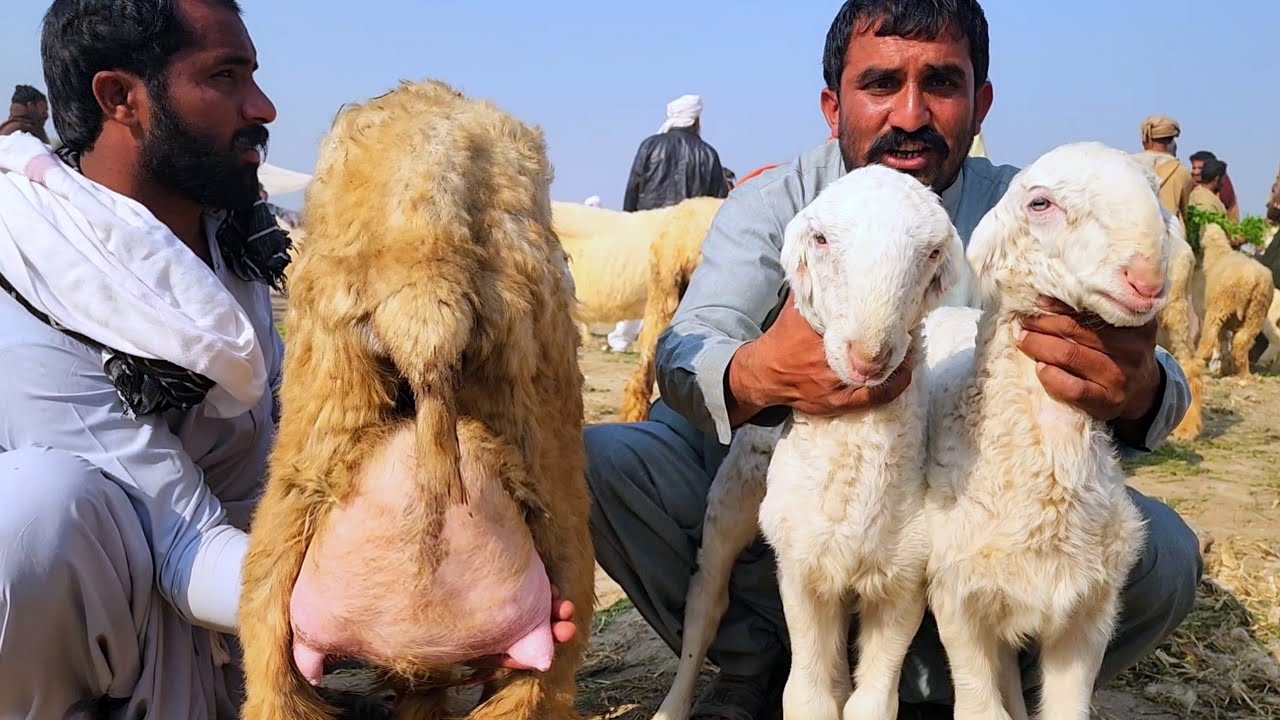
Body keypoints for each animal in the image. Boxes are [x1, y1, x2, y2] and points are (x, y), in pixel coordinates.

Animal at [651, 164, 969, 720]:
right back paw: (673, 704)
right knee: (706, 600)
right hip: (735, 494)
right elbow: (807, 698)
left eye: (932, 253)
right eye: (820, 239)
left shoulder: (904, 578)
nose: (868, 355)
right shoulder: (798, 568)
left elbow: (869, 702)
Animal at [920, 142, 1179, 720]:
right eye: (1040, 204)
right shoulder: (956, 597)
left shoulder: (1088, 613)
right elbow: (981, 707)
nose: (1148, 280)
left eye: (1156, 194)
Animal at [1193, 221, 1273, 378]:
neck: (1219, 254)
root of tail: (1251, 279)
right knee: (1241, 342)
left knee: (1208, 341)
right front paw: (1225, 368)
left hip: (1219, 309)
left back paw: (1194, 362)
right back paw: (1244, 374)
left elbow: (1220, 342)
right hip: (1257, 312)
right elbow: (1224, 344)